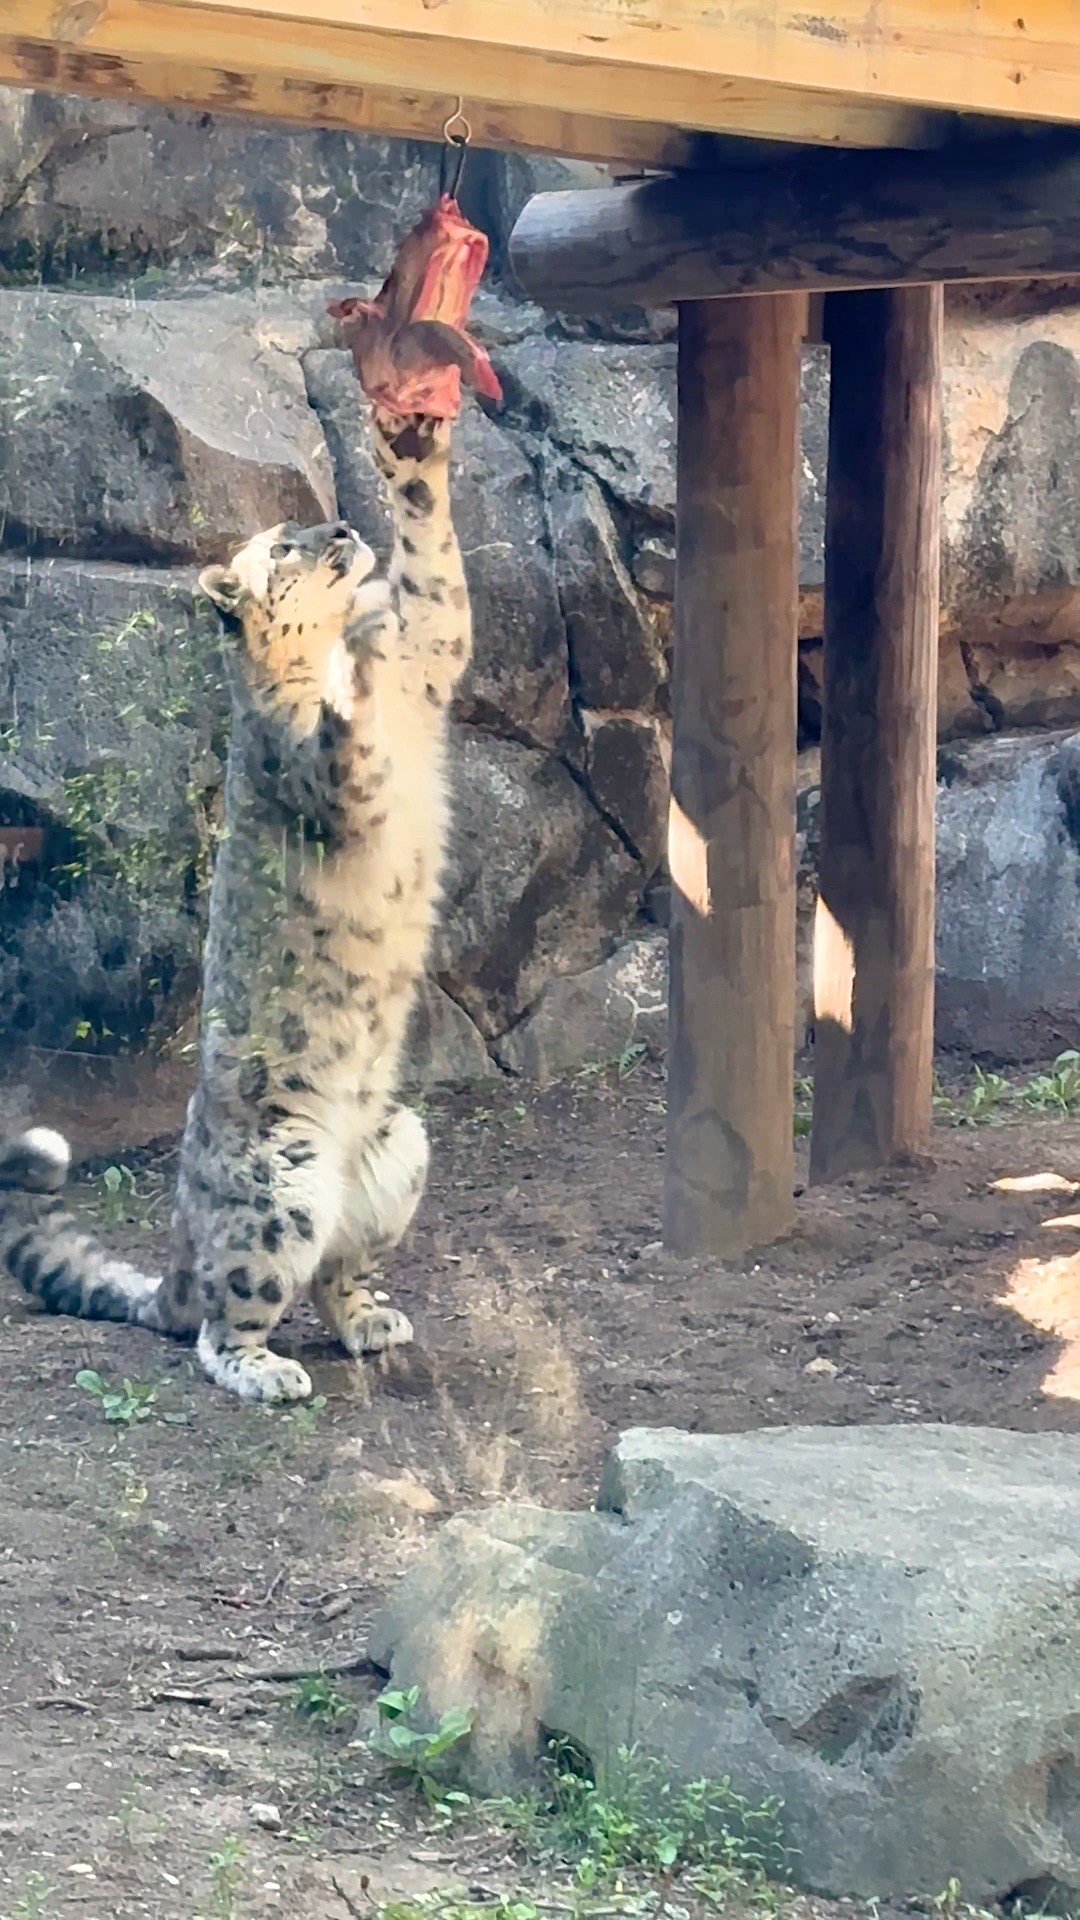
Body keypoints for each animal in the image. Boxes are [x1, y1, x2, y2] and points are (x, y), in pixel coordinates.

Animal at [0, 407, 471, 1404]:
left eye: (314, 525)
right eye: (281, 547)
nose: (343, 532)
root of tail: (184, 1231)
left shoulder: (429, 655)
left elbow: (437, 587)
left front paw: (414, 455)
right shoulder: (323, 779)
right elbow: (341, 747)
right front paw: (347, 663)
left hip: (399, 1145)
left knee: (335, 1270)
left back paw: (371, 1318)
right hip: (273, 1186)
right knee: (224, 1314)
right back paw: (265, 1370)